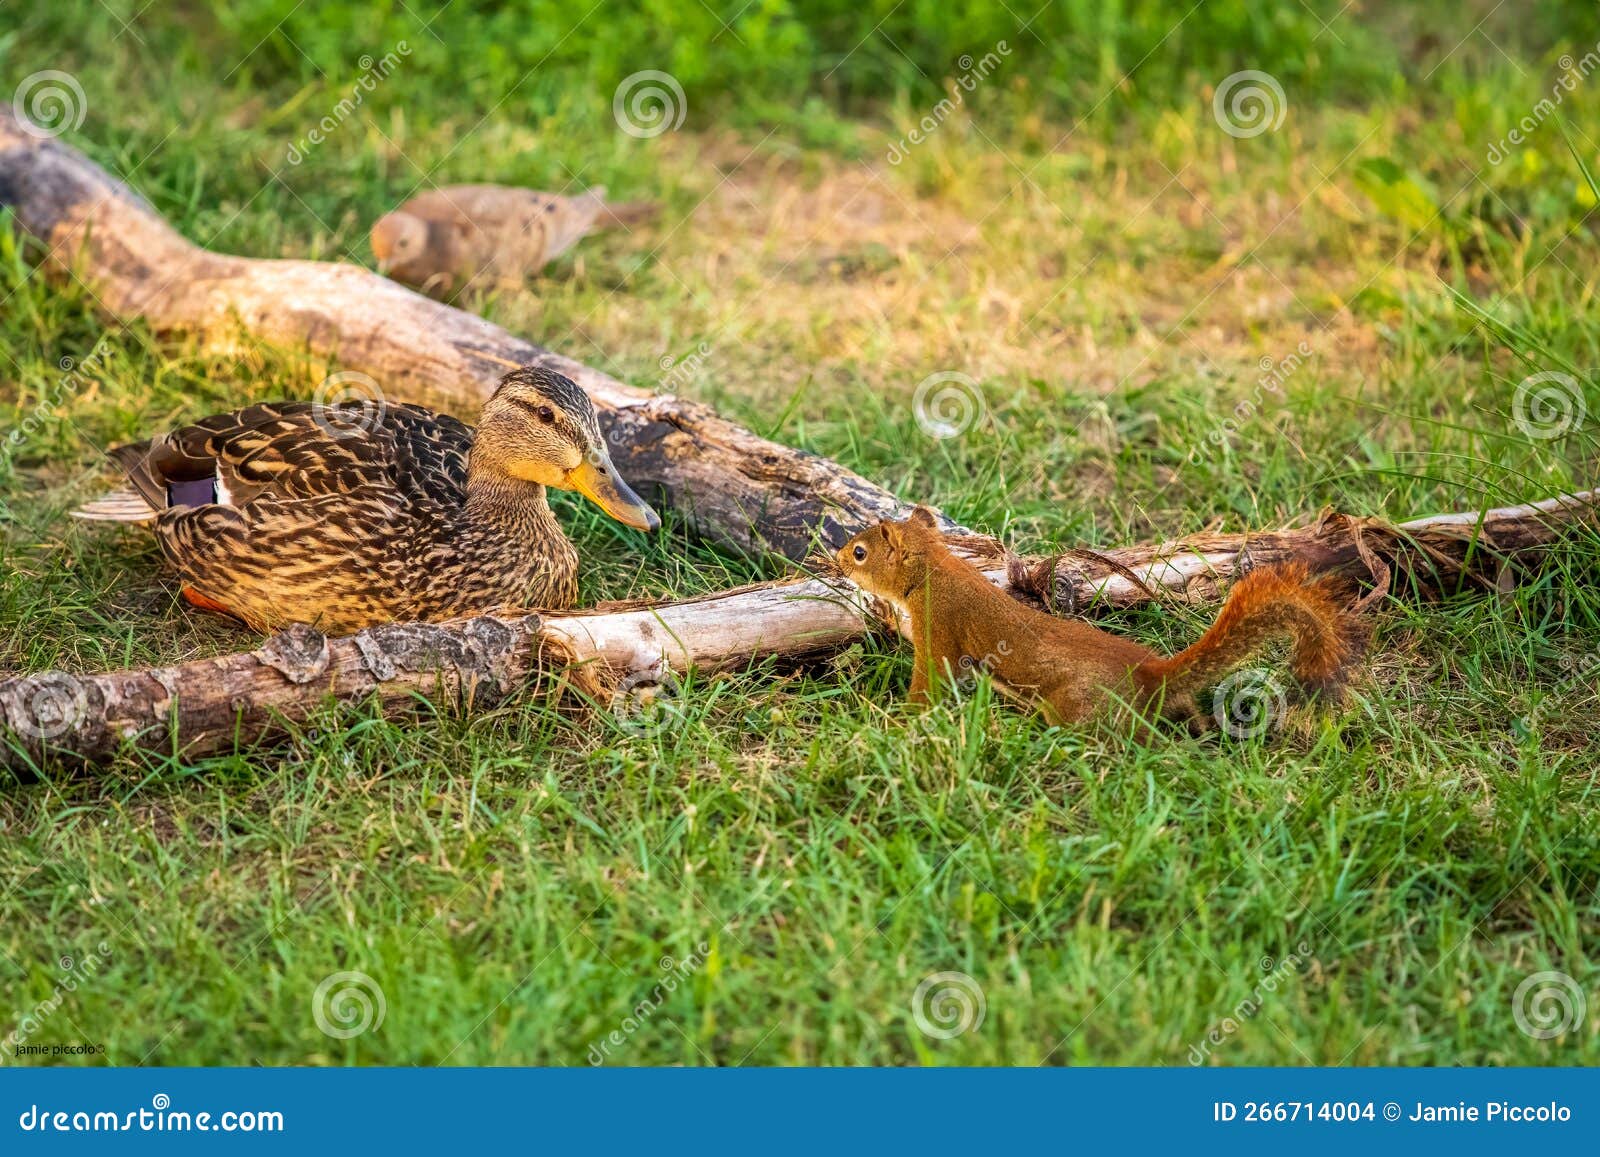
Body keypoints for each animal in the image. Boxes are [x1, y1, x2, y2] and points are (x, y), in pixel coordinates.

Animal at [835, 507, 1365, 730]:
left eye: (860, 552)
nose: (835, 560)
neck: (935, 569)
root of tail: (1151, 675)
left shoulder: (939, 627)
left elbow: (930, 681)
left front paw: (895, 717)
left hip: (1074, 706)